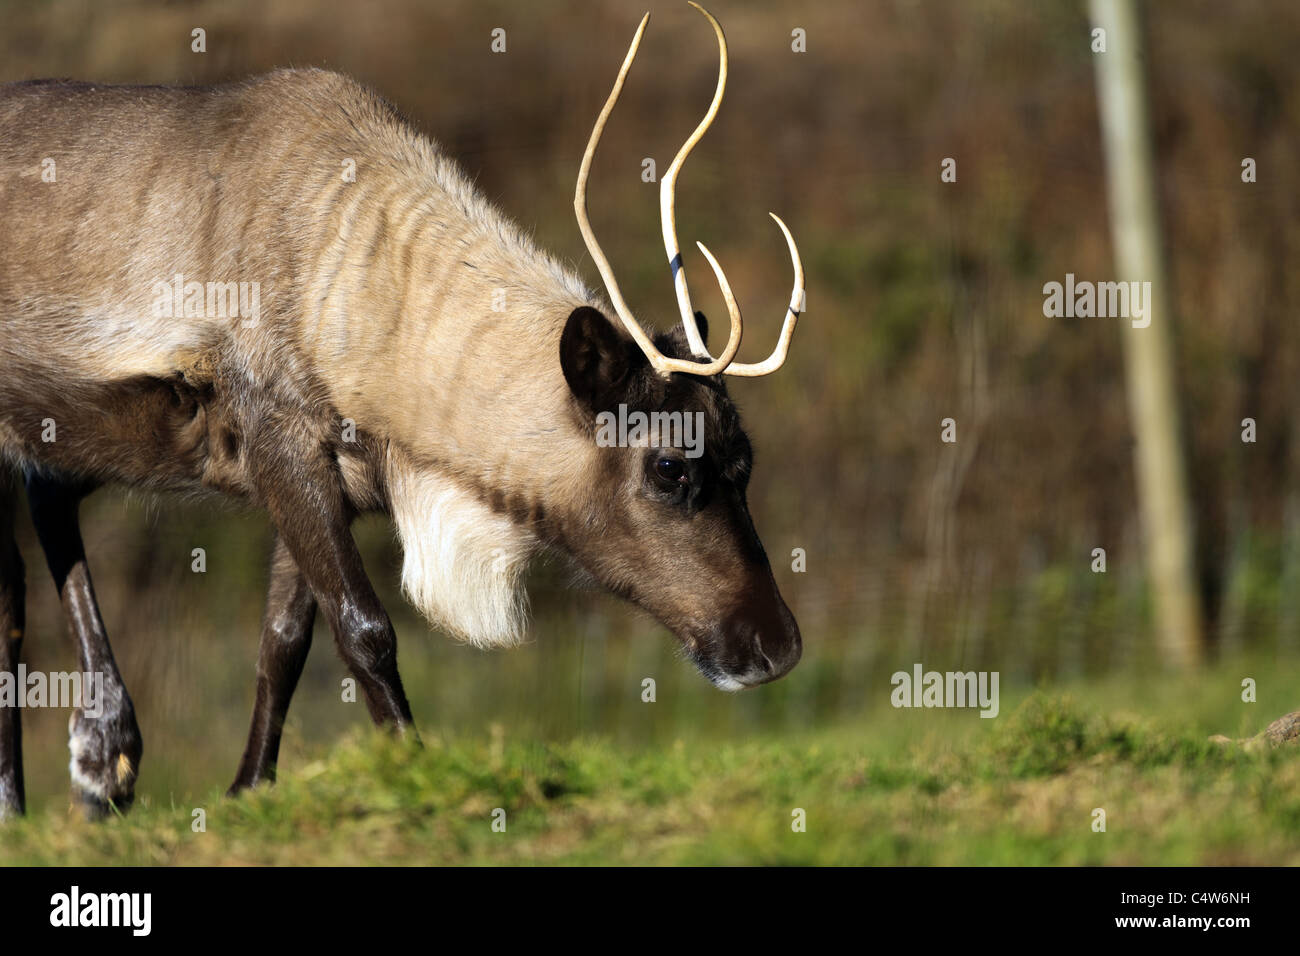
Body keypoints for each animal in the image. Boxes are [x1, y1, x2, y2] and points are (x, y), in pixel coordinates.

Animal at [0, 3, 805, 820]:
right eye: (669, 465)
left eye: (746, 460)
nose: (776, 647)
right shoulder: (279, 434)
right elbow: (365, 629)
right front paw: (413, 770)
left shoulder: (327, 471)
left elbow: (283, 639)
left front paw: (246, 787)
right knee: (15, 584)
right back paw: (59, 780)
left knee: (42, 523)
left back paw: (94, 763)